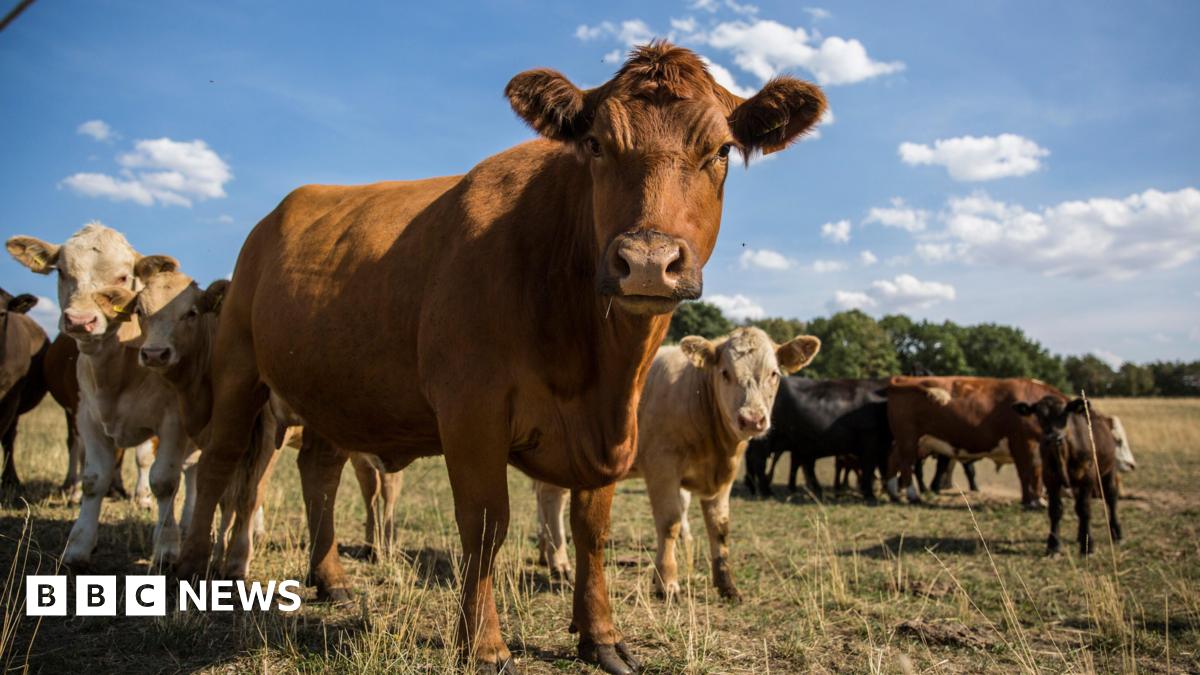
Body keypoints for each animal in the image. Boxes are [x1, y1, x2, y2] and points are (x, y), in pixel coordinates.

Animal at [43, 332, 156, 506]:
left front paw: (143, 498)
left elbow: (144, 457)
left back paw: (116, 488)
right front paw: (77, 495)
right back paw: (69, 484)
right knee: (73, 445)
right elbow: (84, 455)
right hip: (70, 413)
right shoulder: (80, 411)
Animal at [536, 328, 820, 601]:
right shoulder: (663, 467)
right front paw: (667, 582)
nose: (752, 419)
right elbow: (670, 523)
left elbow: (720, 528)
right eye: (725, 373)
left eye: (774, 374)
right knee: (552, 500)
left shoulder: (723, 478)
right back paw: (560, 565)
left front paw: (727, 587)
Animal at [743, 378, 891, 503]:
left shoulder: (883, 448)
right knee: (758, 461)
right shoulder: (871, 442)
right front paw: (870, 494)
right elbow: (869, 468)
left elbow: (883, 469)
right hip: (766, 440)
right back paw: (766, 491)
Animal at [886, 376, 1064, 507]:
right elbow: (1028, 472)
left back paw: (893, 493)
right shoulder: (1024, 443)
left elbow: (1033, 473)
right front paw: (1033, 501)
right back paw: (912, 495)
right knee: (905, 463)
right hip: (908, 438)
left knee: (894, 459)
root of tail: (903, 379)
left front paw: (1035, 500)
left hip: (917, 441)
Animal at [1013, 396, 1121, 555]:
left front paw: (1088, 545)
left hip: (1109, 469)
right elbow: (1055, 510)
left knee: (1111, 497)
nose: (1053, 438)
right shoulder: (1050, 479)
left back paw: (1116, 532)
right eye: (1039, 415)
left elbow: (1085, 509)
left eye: (1064, 414)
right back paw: (1080, 535)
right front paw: (1053, 545)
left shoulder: (1087, 478)